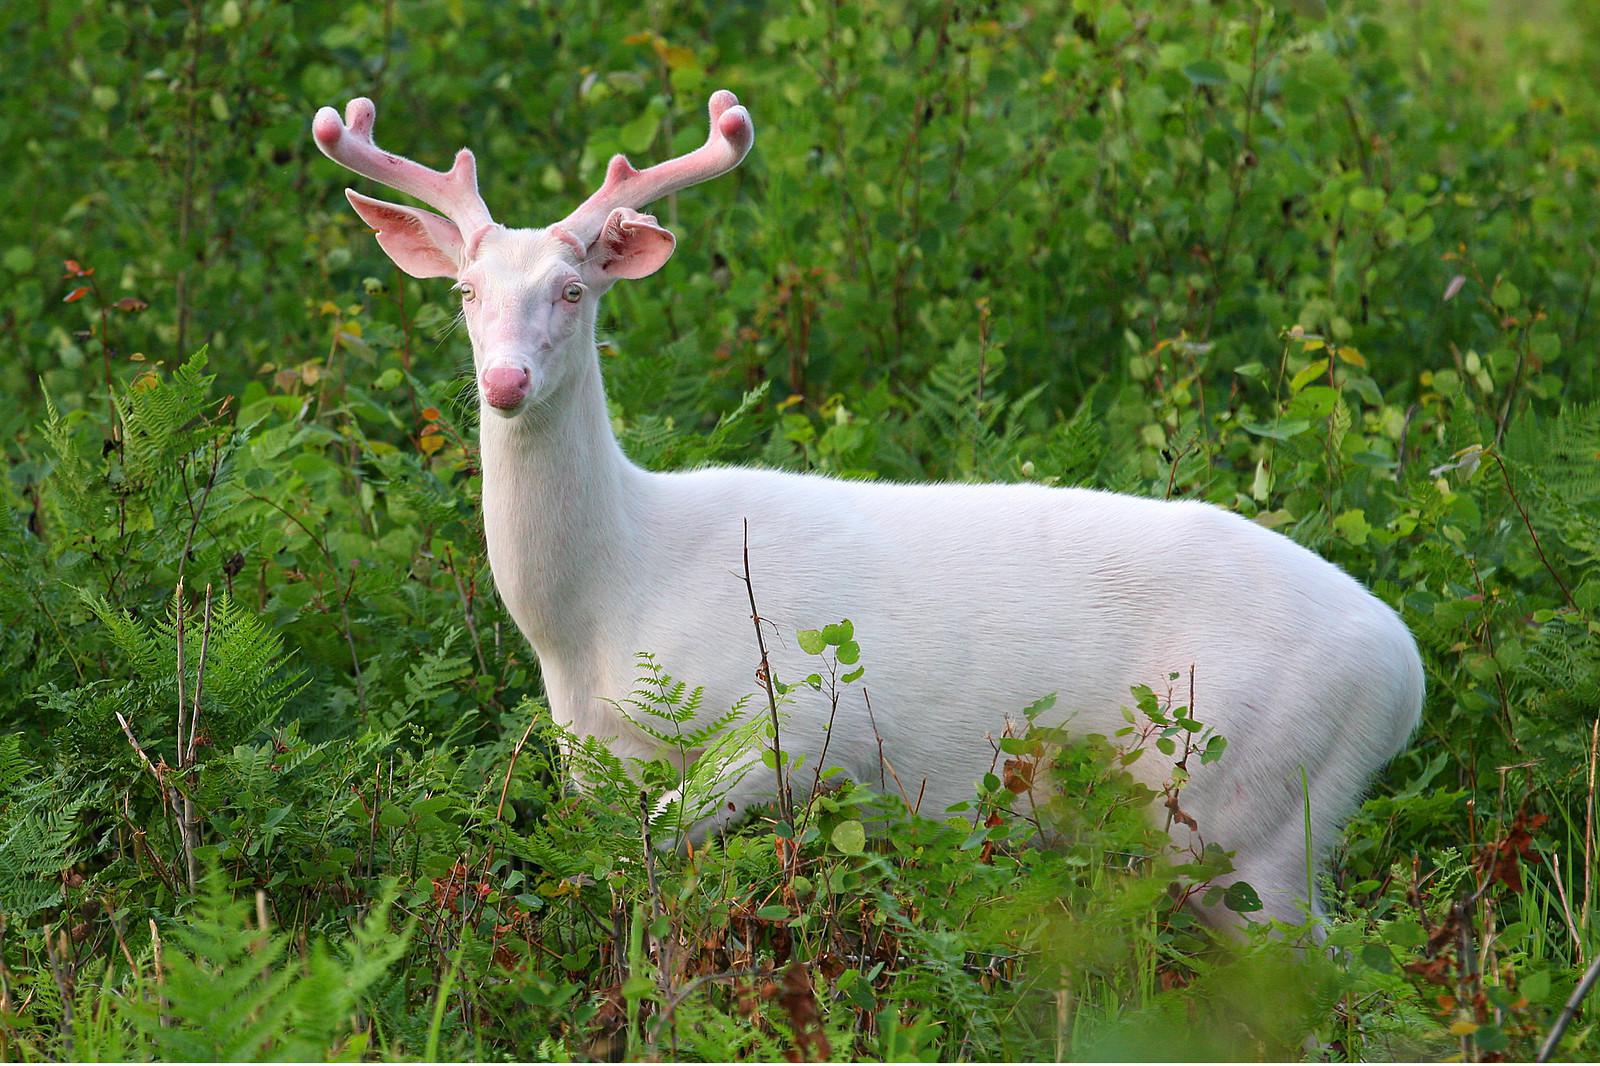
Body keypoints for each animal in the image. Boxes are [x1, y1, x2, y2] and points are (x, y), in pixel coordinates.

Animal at [311, 89, 1424, 927]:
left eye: (574, 288)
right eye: (464, 291)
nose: (503, 380)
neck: (604, 606)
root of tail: (1404, 676)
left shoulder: (795, 723)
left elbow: (661, 847)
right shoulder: (591, 762)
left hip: (1255, 814)